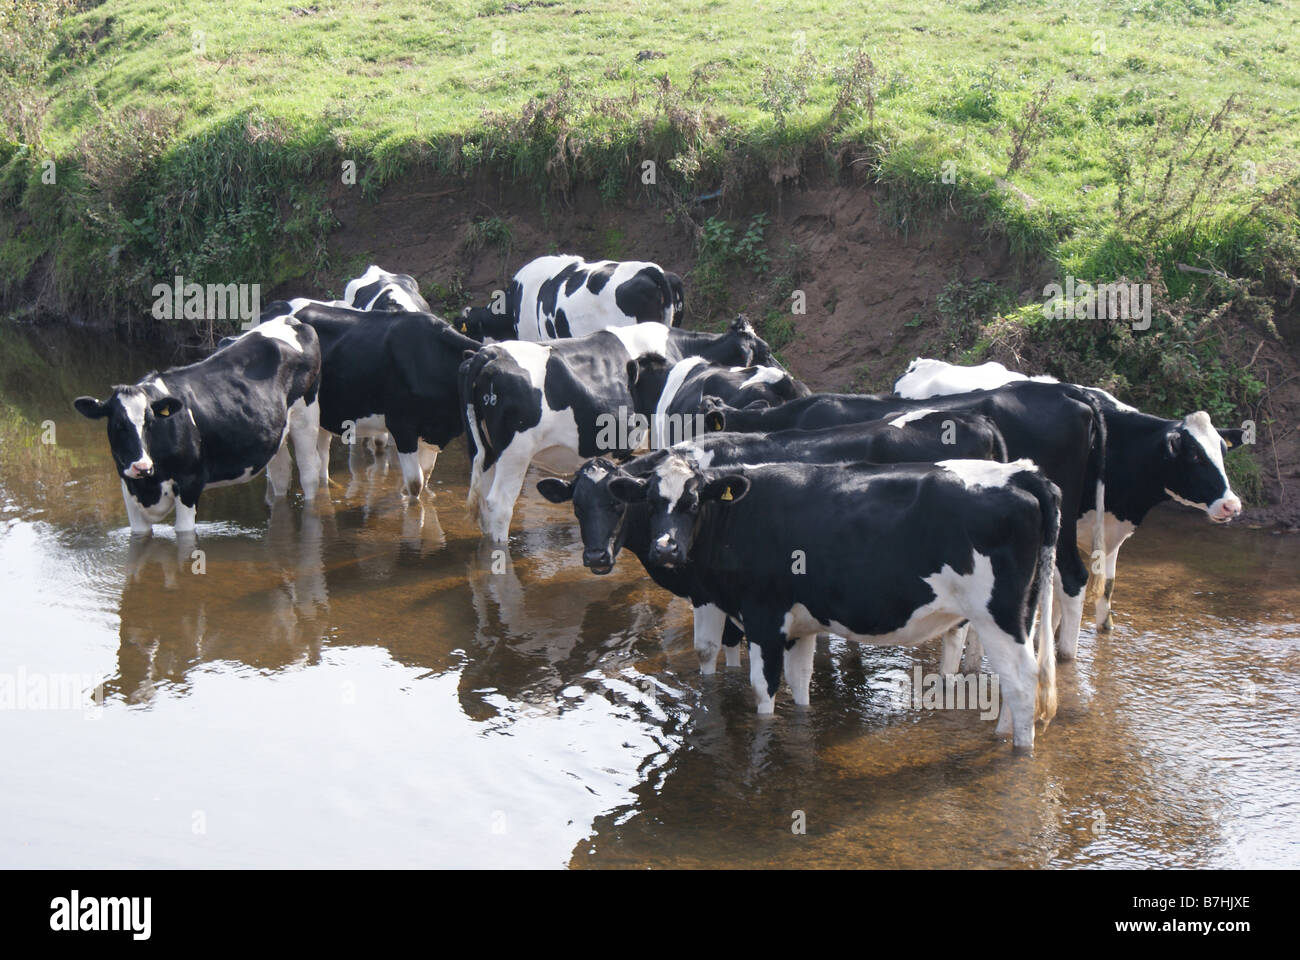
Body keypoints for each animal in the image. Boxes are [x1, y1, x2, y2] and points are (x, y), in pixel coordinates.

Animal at [74, 315, 322, 534]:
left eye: (150, 423)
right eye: (118, 425)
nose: (141, 467)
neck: (149, 485)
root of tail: (290, 320)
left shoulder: (190, 483)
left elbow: (184, 535)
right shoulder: (129, 489)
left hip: (306, 416)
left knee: (309, 472)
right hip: (276, 432)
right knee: (280, 474)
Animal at [461, 317, 777, 541]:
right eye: (766, 351)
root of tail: (489, 353)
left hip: (484, 450)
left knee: (482, 500)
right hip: (515, 453)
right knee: (499, 504)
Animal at [602, 453, 1062, 749]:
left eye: (693, 501)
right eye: (650, 501)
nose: (666, 548)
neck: (737, 516)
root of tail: (1022, 474)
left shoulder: (765, 616)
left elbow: (764, 688)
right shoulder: (799, 624)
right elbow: (801, 682)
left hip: (997, 615)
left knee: (1022, 681)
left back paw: (1020, 751)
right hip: (1024, 613)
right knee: (1017, 679)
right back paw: (1003, 735)